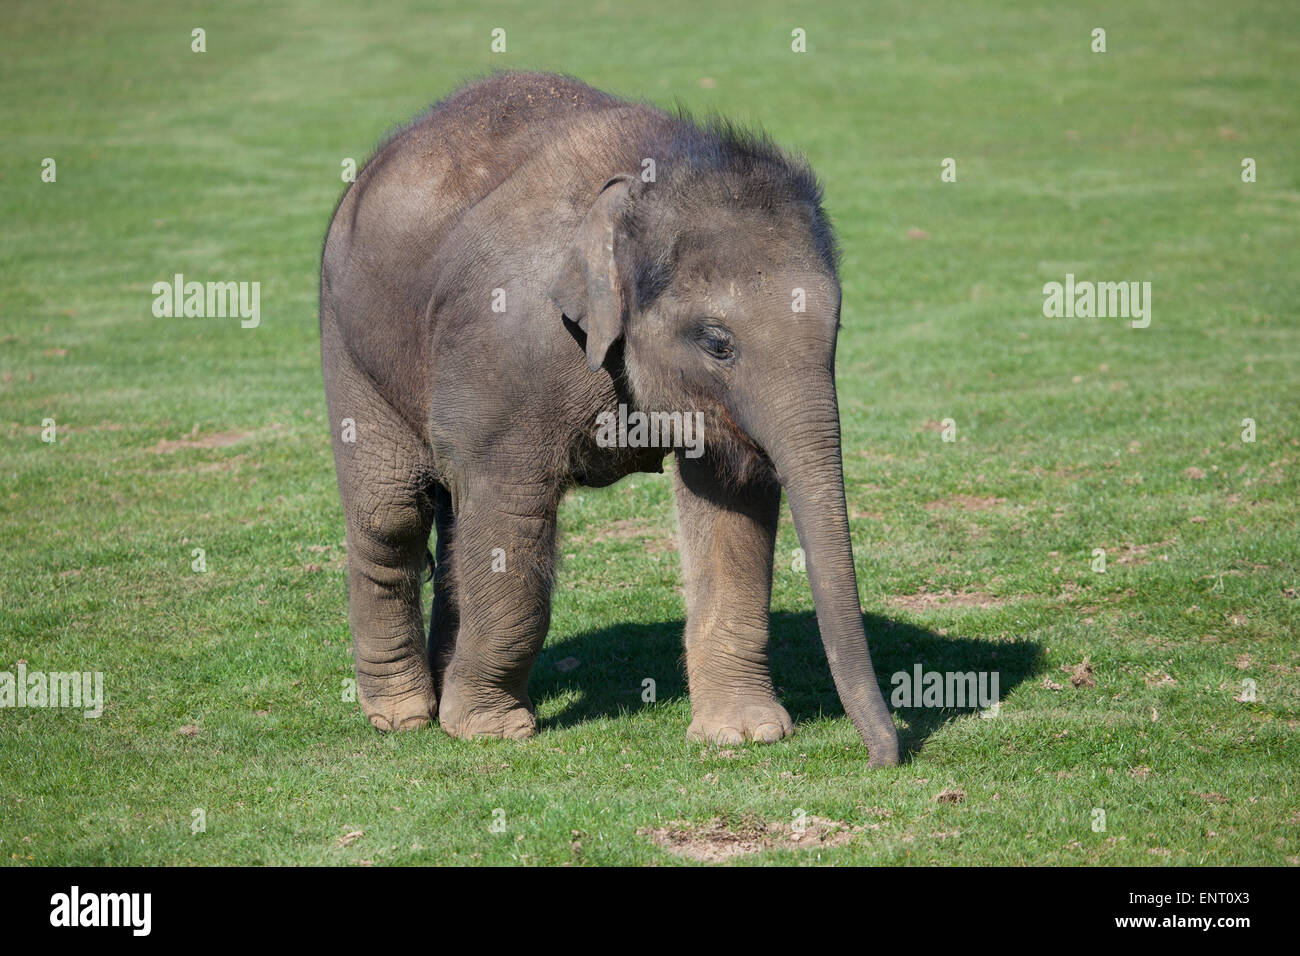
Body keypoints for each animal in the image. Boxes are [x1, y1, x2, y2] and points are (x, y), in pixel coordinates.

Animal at [320, 71, 900, 767]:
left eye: (836, 332)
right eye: (717, 342)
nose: (883, 757)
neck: (649, 179)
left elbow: (732, 503)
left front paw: (743, 734)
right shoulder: (509, 345)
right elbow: (511, 516)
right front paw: (494, 732)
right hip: (348, 341)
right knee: (393, 515)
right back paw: (402, 716)